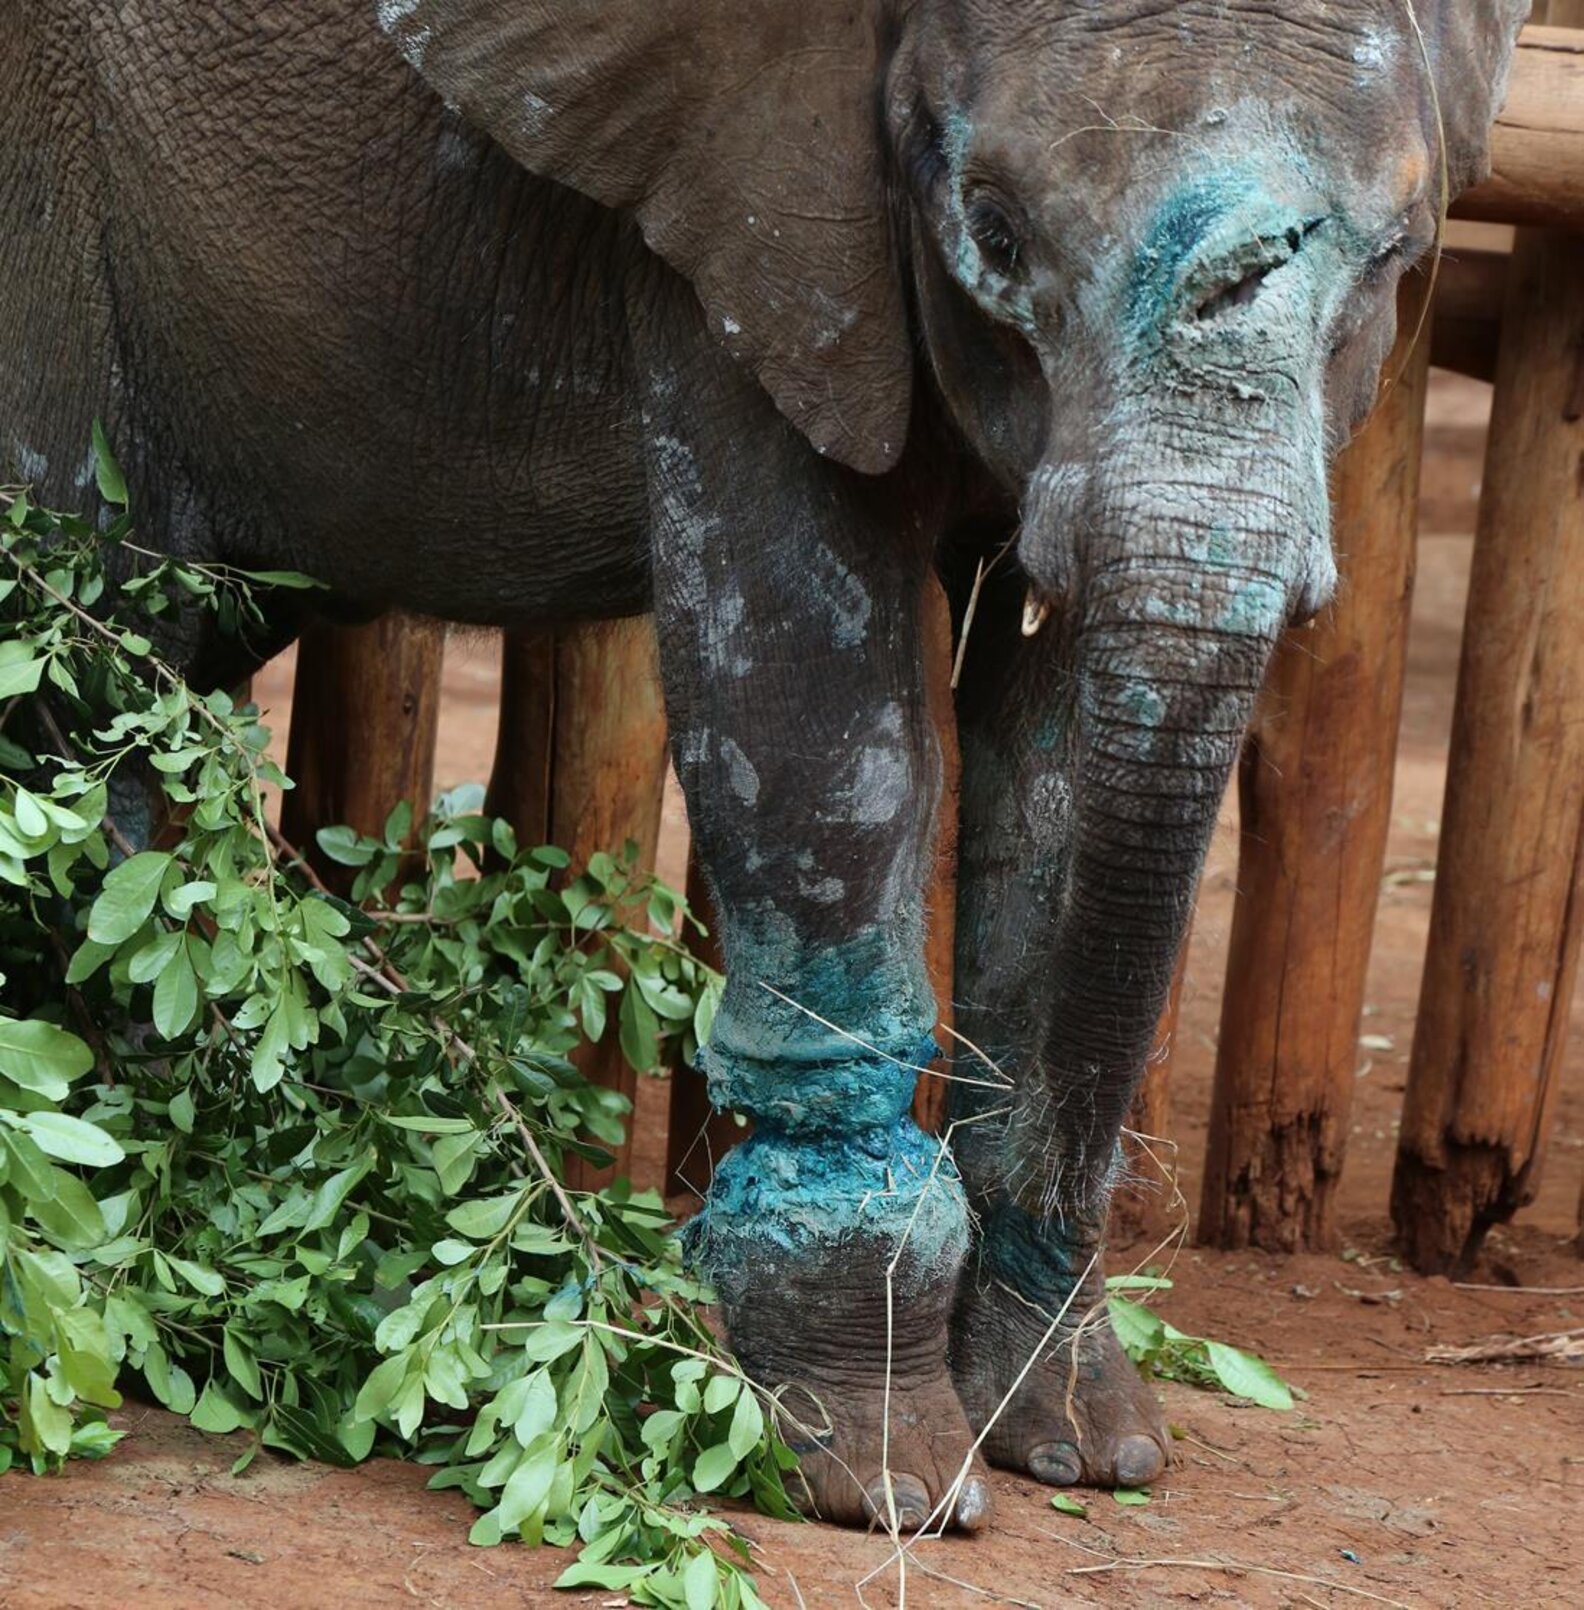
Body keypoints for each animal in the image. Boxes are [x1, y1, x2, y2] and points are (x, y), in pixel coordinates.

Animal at [2, 0, 1527, 1535]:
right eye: (993, 231)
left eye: (1399, 256)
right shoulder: (740, 195)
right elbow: (809, 681)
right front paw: (880, 1473)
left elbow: (1048, 765)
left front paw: (1080, 1448)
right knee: (87, 645)